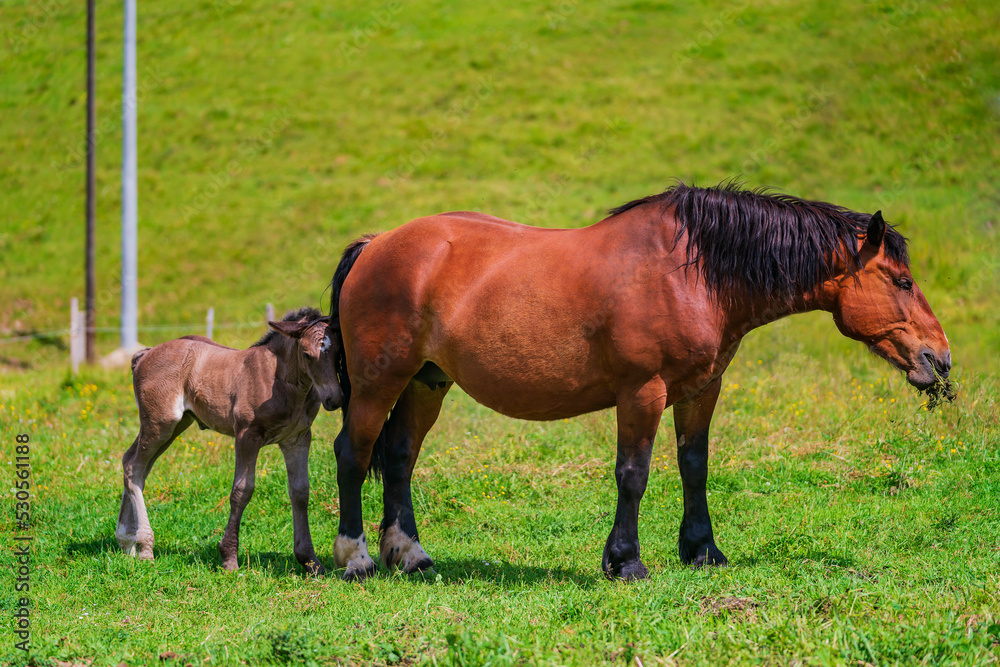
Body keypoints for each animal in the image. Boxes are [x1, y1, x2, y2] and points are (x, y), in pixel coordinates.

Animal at [116, 307, 343, 575]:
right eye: (307, 354)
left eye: (339, 353)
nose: (334, 399)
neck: (280, 381)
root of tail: (145, 354)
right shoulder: (247, 435)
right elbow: (242, 491)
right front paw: (229, 559)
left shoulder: (297, 439)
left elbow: (300, 491)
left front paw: (310, 562)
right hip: (160, 423)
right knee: (134, 466)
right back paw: (144, 548)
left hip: (174, 426)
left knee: (135, 465)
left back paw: (127, 542)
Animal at [327, 182, 951, 581]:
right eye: (901, 280)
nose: (939, 360)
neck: (693, 274)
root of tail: (377, 243)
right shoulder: (642, 391)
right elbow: (633, 474)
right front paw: (625, 561)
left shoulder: (701, 390)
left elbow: (694, 466)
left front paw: (702, 551)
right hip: (380, 382)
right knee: (353, 452)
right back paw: (355, 558)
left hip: (425, 383)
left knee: (400, 457)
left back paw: (410, 555)